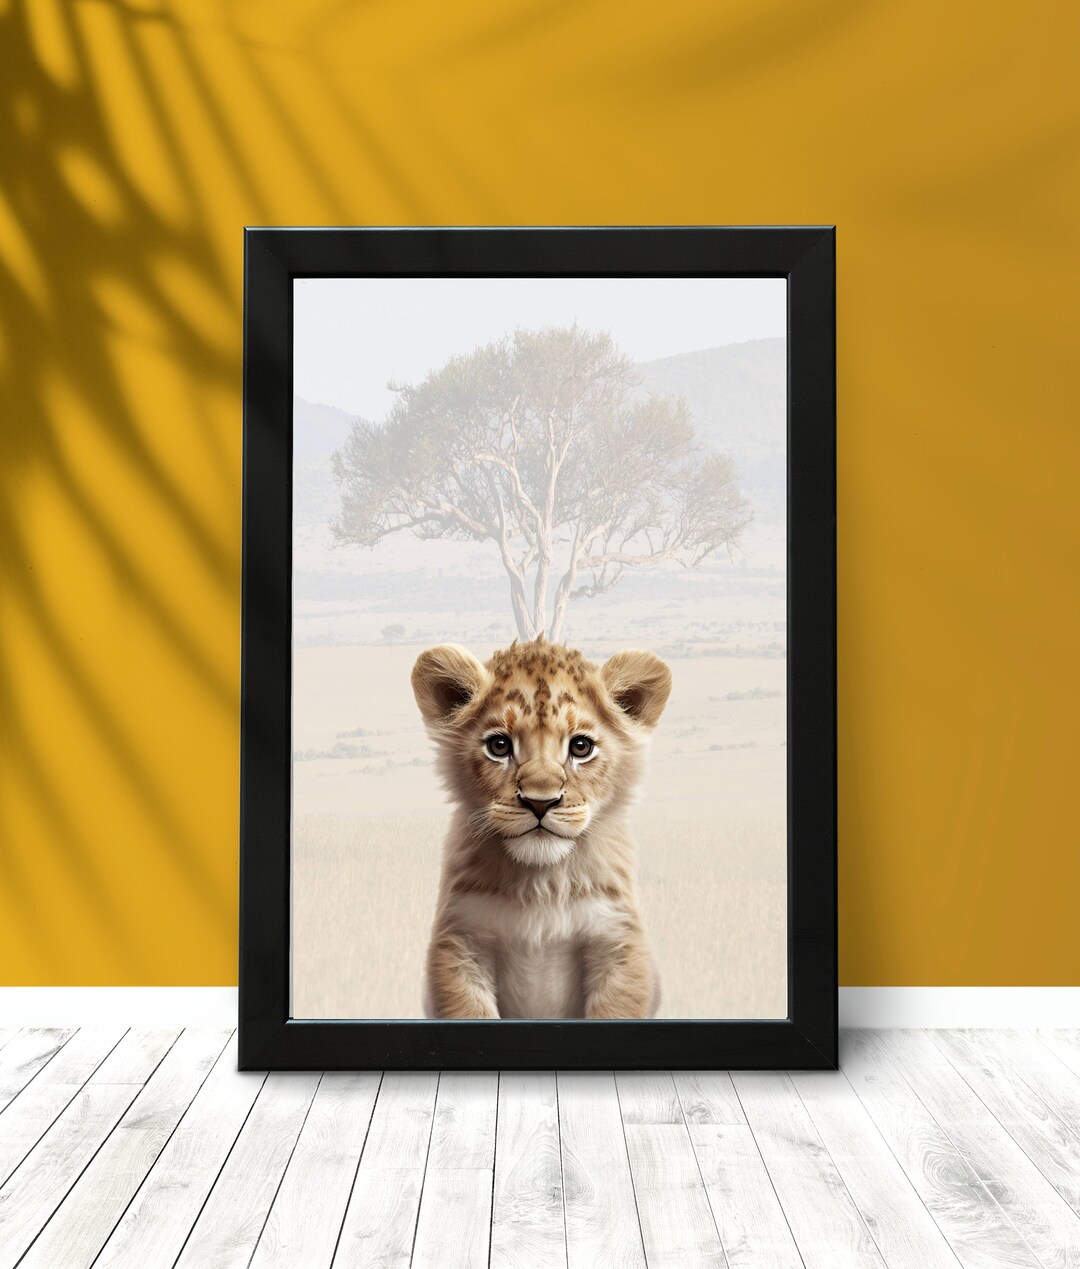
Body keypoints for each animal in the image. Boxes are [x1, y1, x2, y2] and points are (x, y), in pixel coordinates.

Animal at [411, 634, 671, 1019]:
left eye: (581, 746)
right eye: (499, 745)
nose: (540, 802)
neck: (541, 886)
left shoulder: (616, 939)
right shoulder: (461, 940)